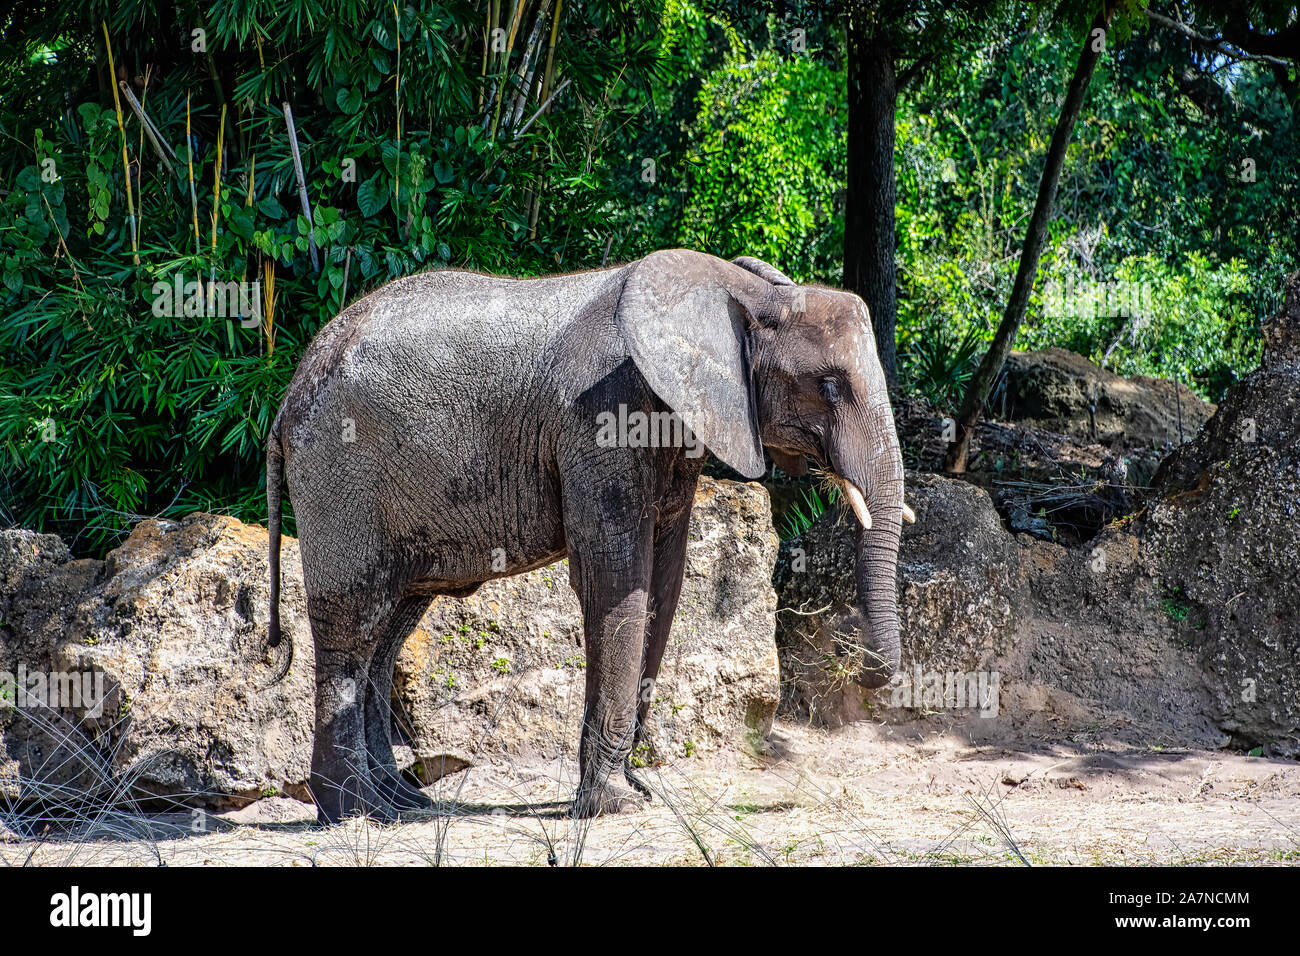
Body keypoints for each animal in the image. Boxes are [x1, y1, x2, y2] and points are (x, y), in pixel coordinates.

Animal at [265, 248, 912, 824]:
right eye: (829, 385)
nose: (862, 675)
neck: (743, 292)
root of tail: (286, 397)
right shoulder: (602, 415)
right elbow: (616, 581)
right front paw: (614, 805)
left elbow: (663, 586)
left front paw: (637, 792)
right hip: (340, 472)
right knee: (352, 624)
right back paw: (358, 811)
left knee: (390, 625)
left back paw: (406, 803)